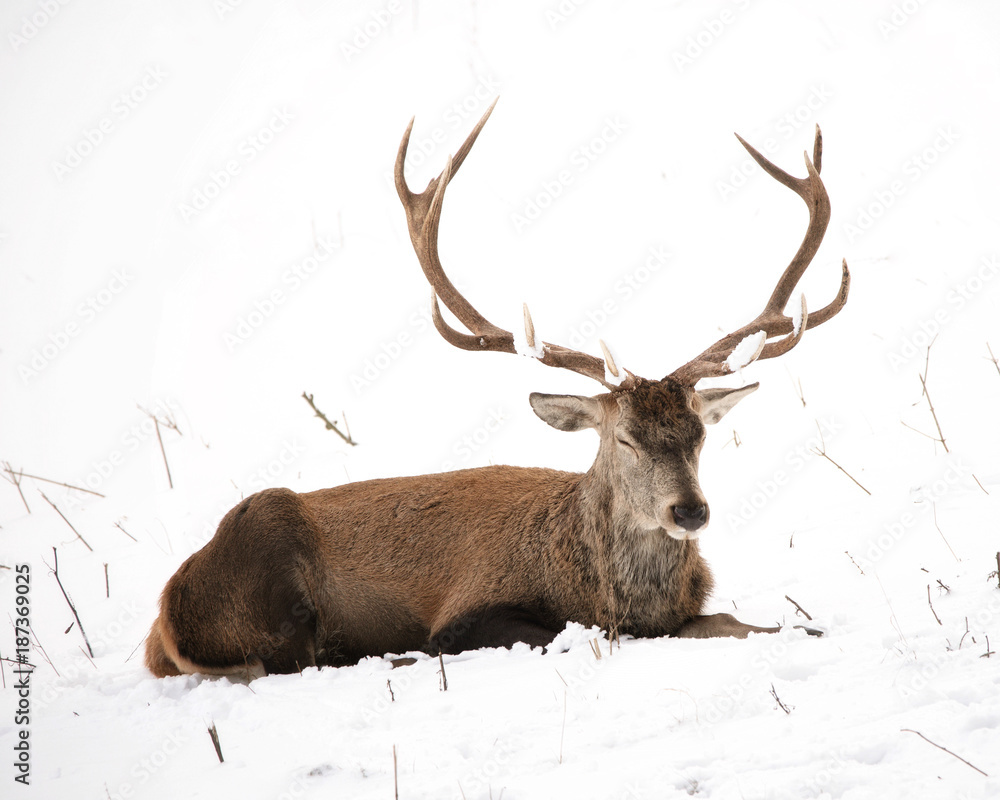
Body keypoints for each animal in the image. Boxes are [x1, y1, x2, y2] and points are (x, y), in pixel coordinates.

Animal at [145, 100, 849, 679]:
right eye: (624, 438)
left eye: (700, 433)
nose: (691, 512)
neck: (599, 581)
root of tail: (163, 620)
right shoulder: (468, 613)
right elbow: (580, 634)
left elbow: (742, 620)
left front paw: (809, 627)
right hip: (268, 557)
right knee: (294, 658)